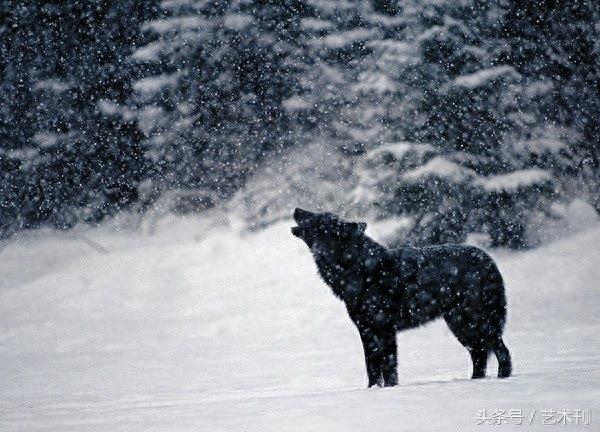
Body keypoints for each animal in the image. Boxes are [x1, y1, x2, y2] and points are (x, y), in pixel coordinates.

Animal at [290, 208, 510, 386]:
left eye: (319, 218)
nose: (297, 209)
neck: (359, 270)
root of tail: (489, 260)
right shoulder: (366, 330)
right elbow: (372, 366)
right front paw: (372, 390)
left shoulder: (385, 328)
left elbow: (388, 366)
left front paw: (390, 389)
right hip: (461, 326)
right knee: (479, 355)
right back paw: (475, 381)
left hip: (475, 324)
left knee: (502, 352)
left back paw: (502, 379)